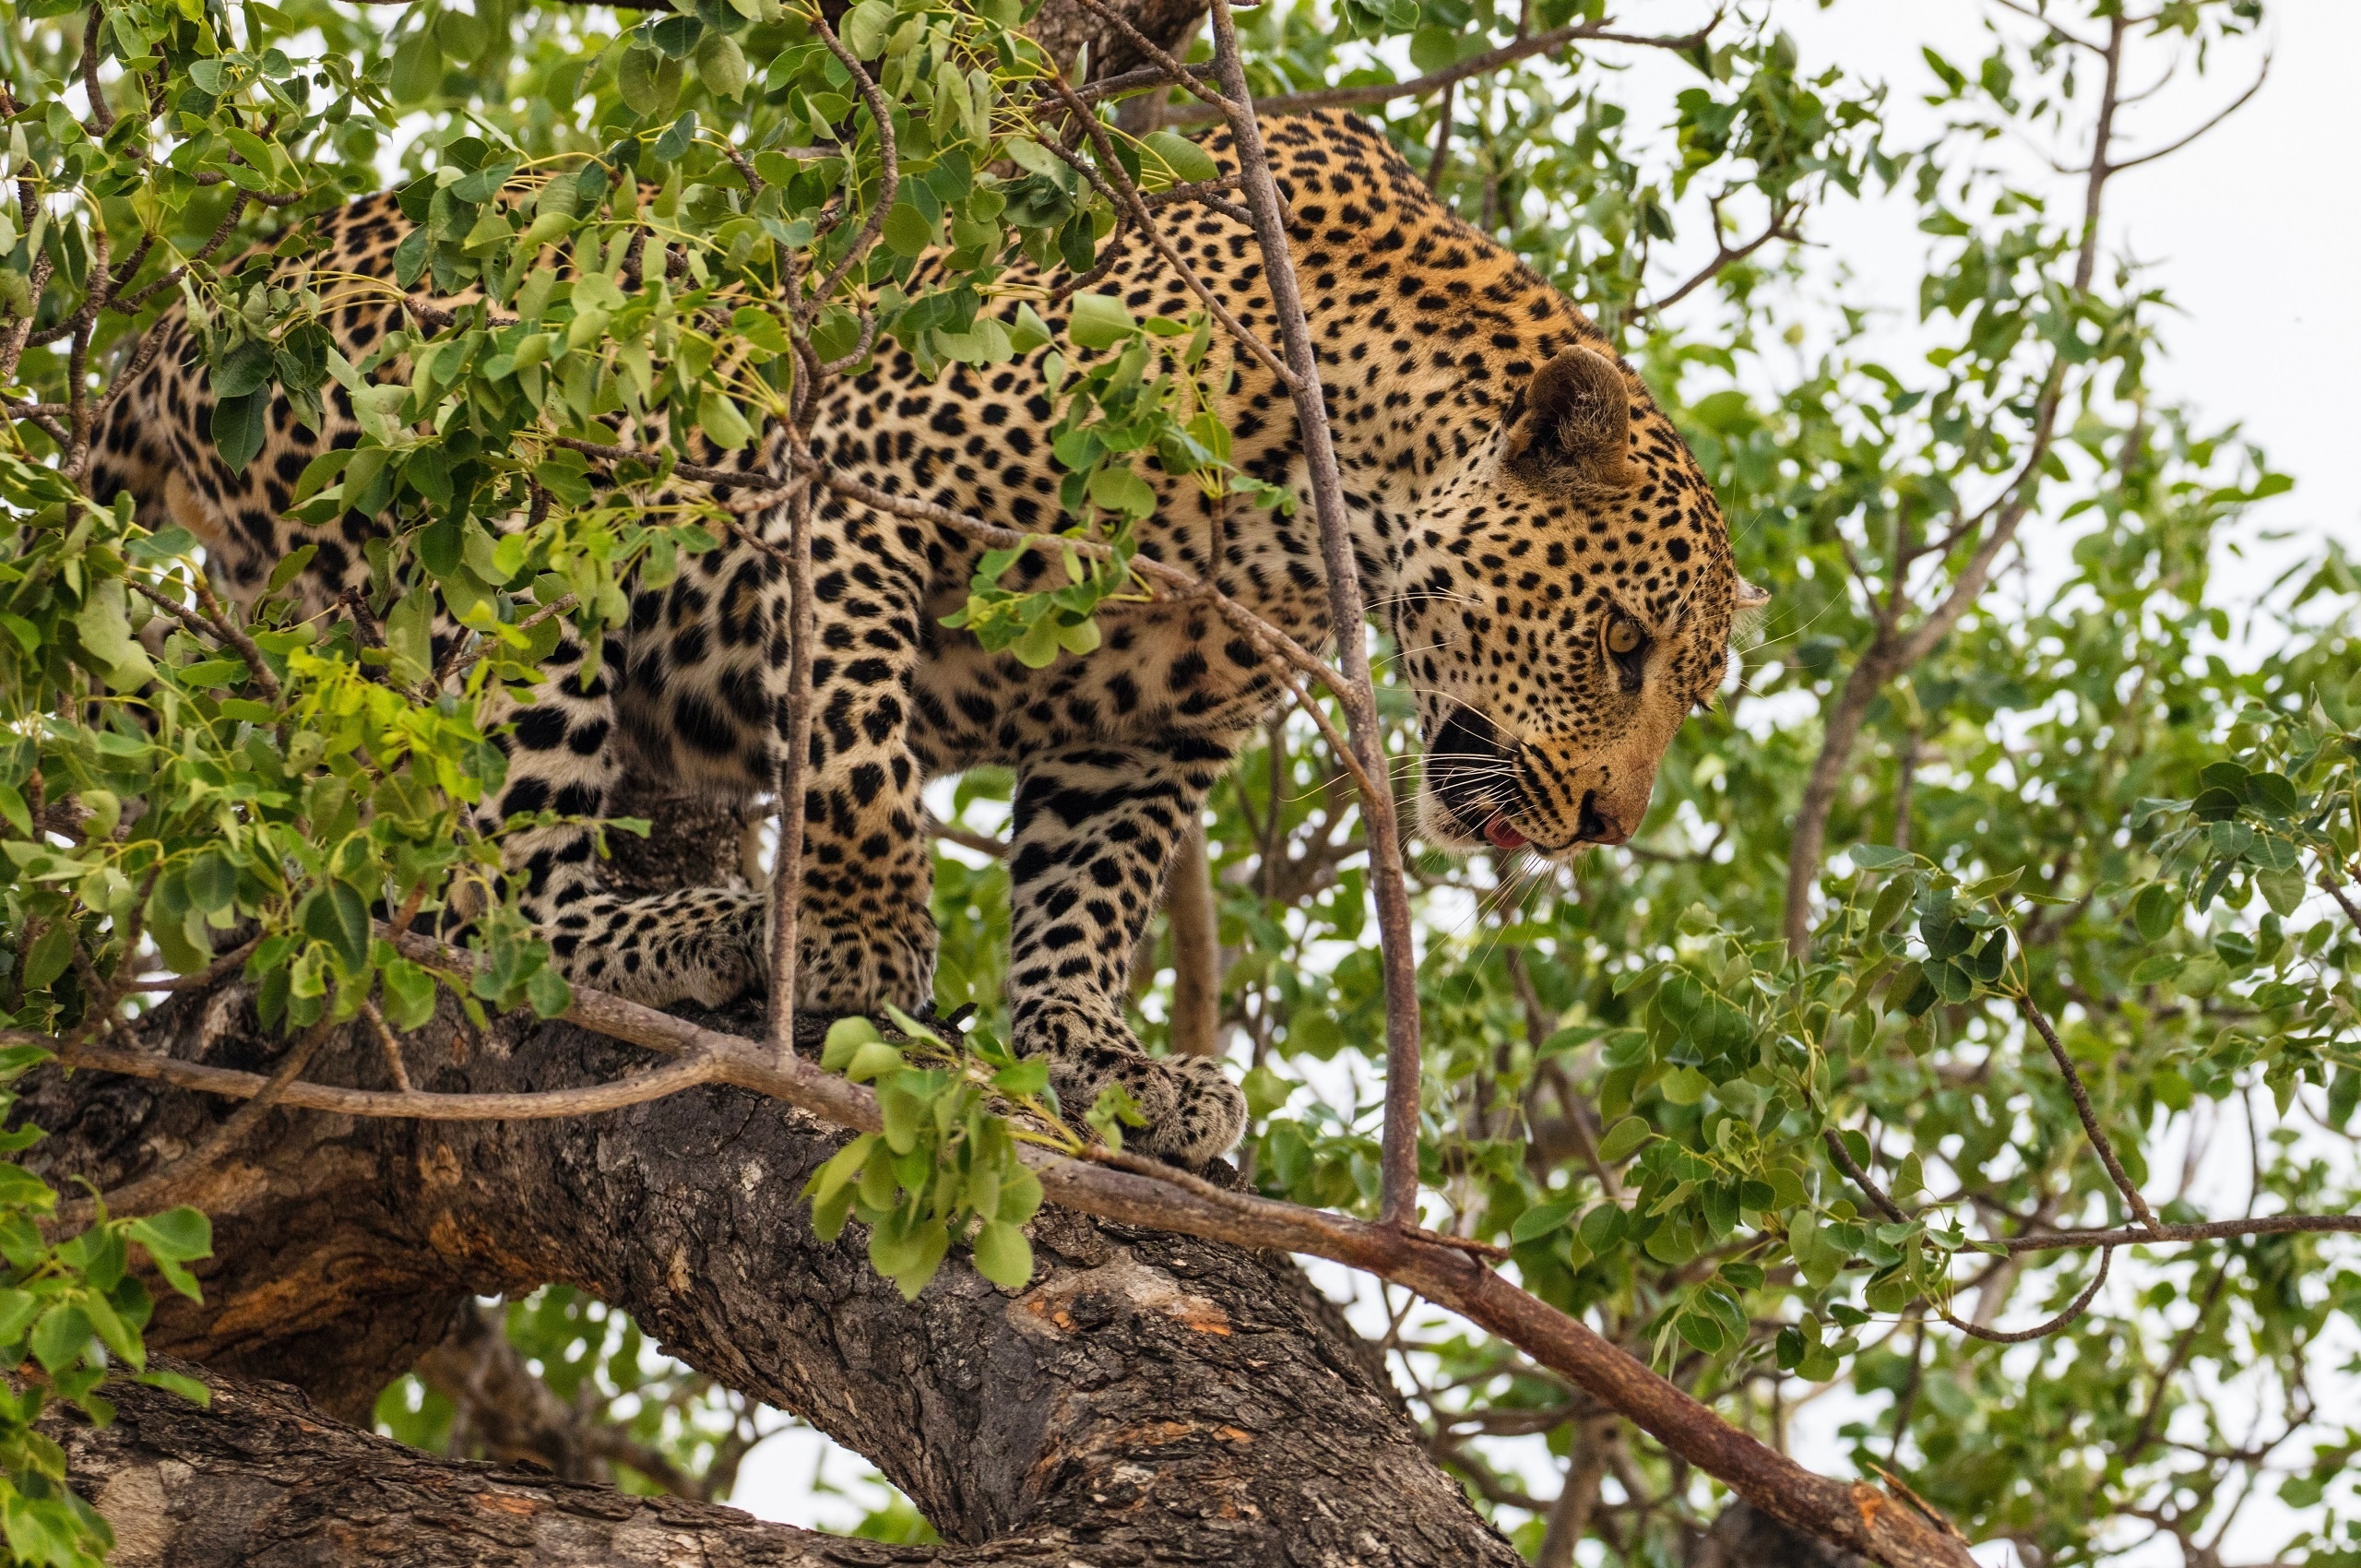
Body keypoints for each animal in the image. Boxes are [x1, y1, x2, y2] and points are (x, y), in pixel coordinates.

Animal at [91, 109, 1765, 1166]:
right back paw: (700, 931)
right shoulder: (850, 480)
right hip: (515, 505)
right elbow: (857, 754)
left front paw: (1103, 1060)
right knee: (483, 894)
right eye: (1624, 645)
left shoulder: (1145, 725)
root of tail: (181, 322)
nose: (1607, 822)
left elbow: (1087, 899)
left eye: (1681, 684)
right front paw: (854, 942)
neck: (1330, 501)